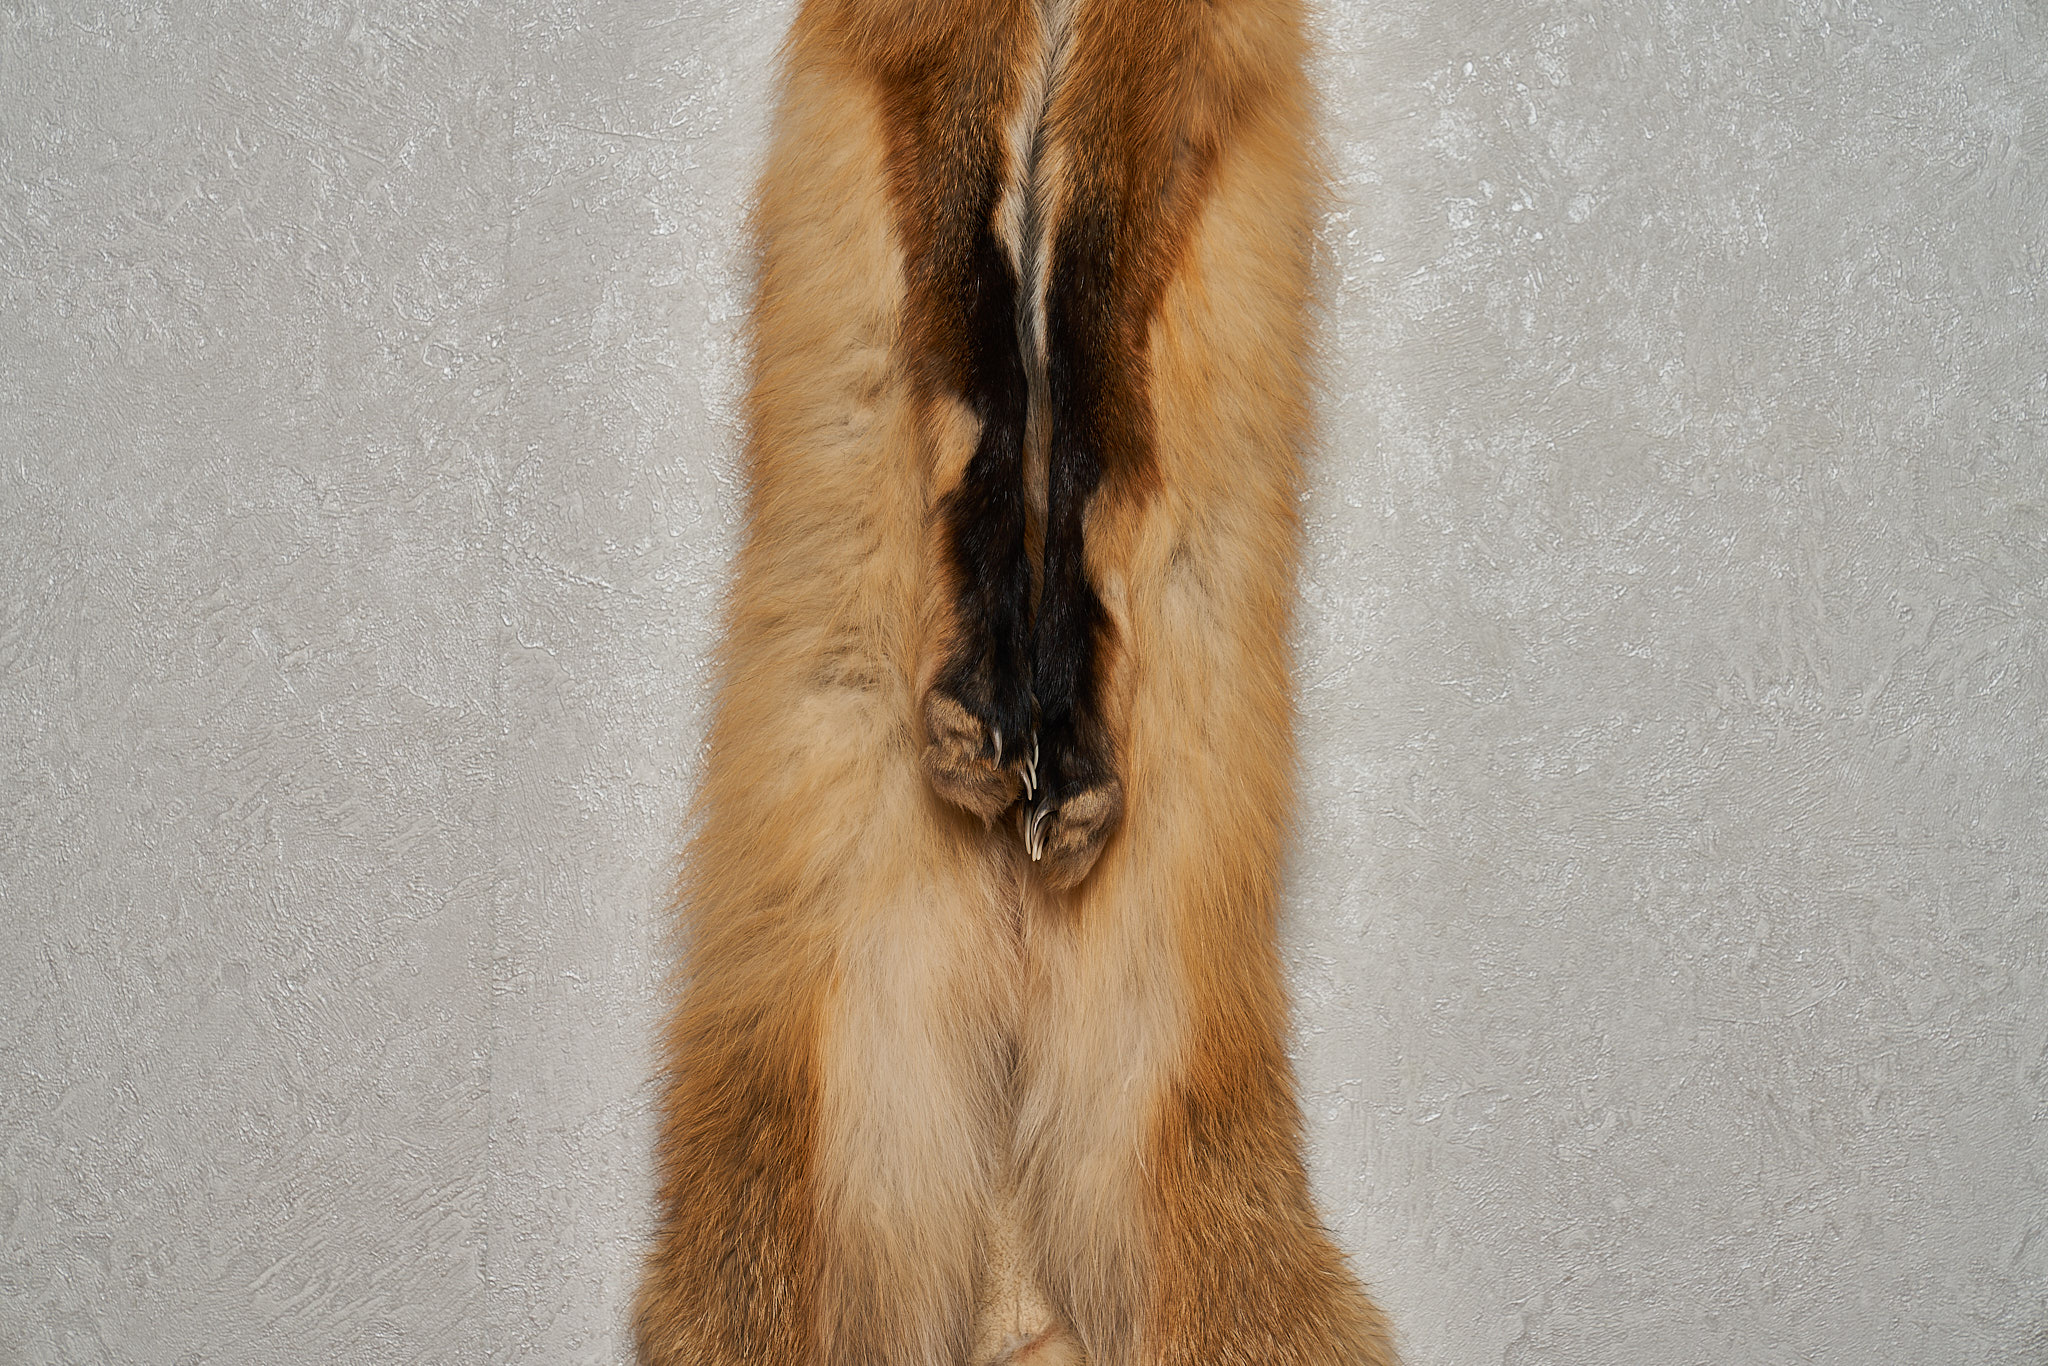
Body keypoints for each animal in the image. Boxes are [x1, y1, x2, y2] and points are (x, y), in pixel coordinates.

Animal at [635, 2, 1397, 1365]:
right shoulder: (935, 104)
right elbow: (987, 430)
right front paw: (988, 707)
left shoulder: (1153, 132)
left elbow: (1085, 453)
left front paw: (1060, 739)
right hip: (840, 1100)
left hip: (1157, 1085)